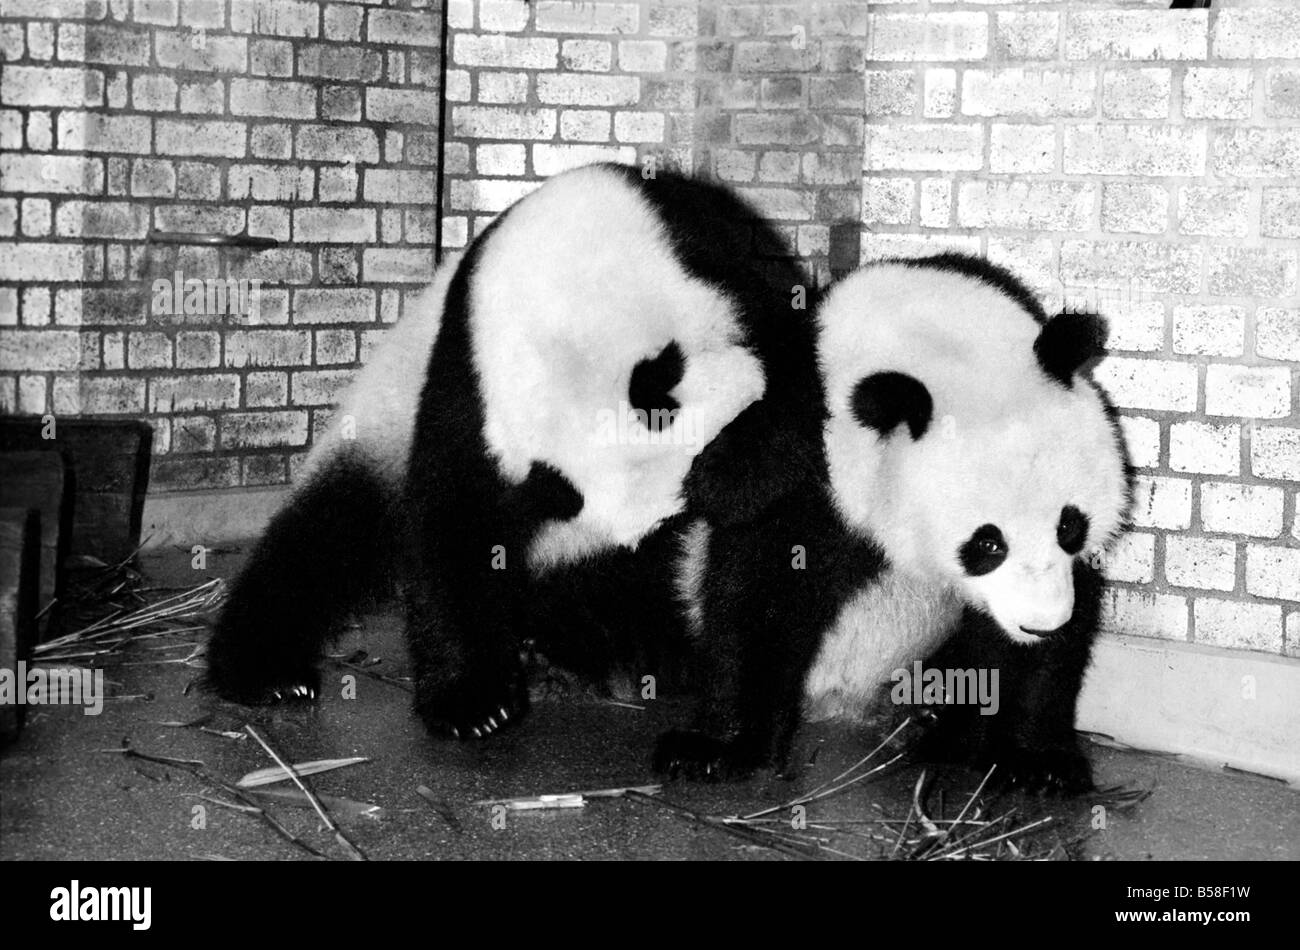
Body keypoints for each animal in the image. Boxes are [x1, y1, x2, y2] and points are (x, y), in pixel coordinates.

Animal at [204, 163, 818, 740]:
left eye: (677, 519)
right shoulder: (468, 374)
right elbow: (454, 514)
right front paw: (474, 705)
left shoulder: (707, 259)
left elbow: (788, 380)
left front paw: (737, 476)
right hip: (379, 422)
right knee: (325, 534)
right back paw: (267, 673)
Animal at [657, 254, 1131, 793]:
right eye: (987, 545)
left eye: (1069, 527)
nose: (1040, 623)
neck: (930, 333)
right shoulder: (808, 469)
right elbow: (757, 586)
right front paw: (715, 751)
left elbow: (1047, 643)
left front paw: (1038, 762)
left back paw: (932, 723)